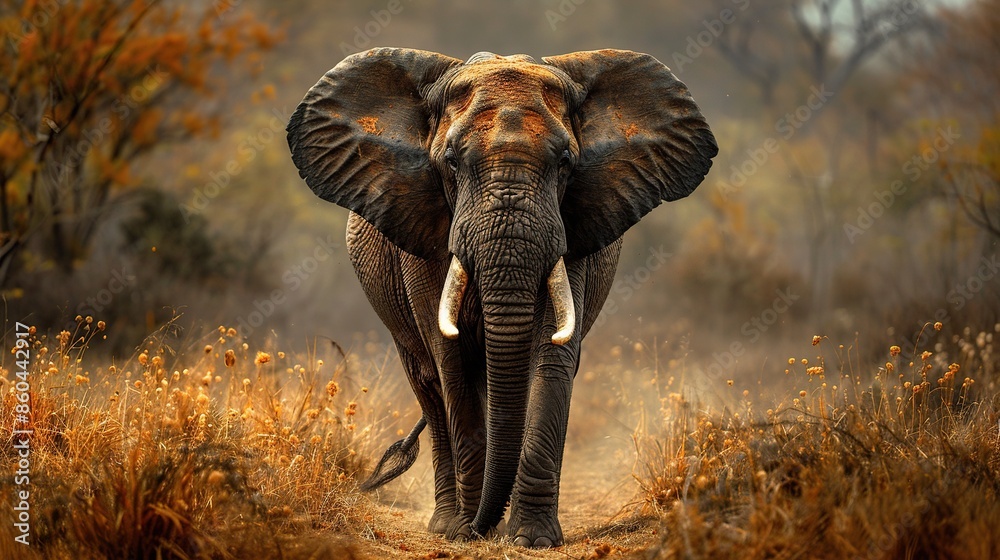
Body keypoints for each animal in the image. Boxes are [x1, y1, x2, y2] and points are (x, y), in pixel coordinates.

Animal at [286, 48, 717, 548]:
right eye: (451, 162)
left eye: (565, 162)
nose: (481, 526)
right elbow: (451, 362)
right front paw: (465, 532)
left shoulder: (570, 230)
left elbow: (551, 357)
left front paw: (531, 538)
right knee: (430, 386)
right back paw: (449, 521)